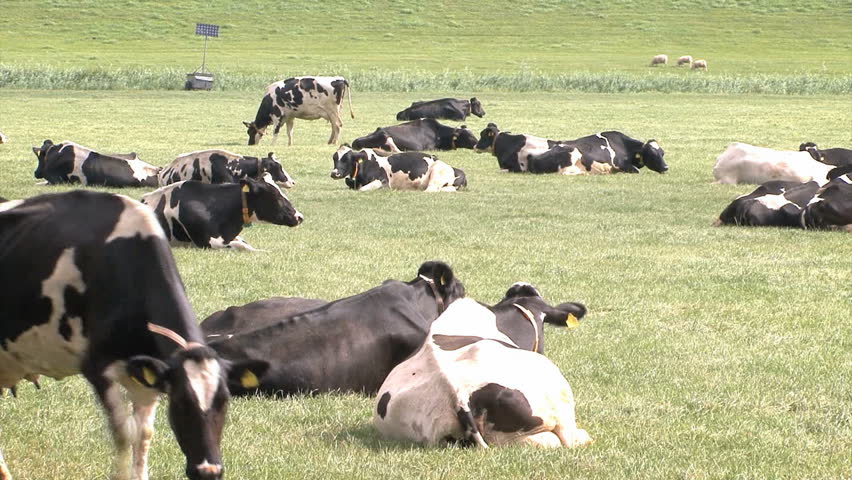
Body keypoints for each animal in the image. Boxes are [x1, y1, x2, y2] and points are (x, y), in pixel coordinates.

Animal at [0, 190, 265, 480]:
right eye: (180, 402)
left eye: (224, 401)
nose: (208, 470)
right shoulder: (97, 367)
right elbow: (124, 434)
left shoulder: (148, 375)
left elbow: (144, 434)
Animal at [330, 145, 465, 192]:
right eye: (334, 158)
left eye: (347, 159)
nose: (334, 173)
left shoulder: (383, 181)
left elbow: (362, 189)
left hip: (436, 174)